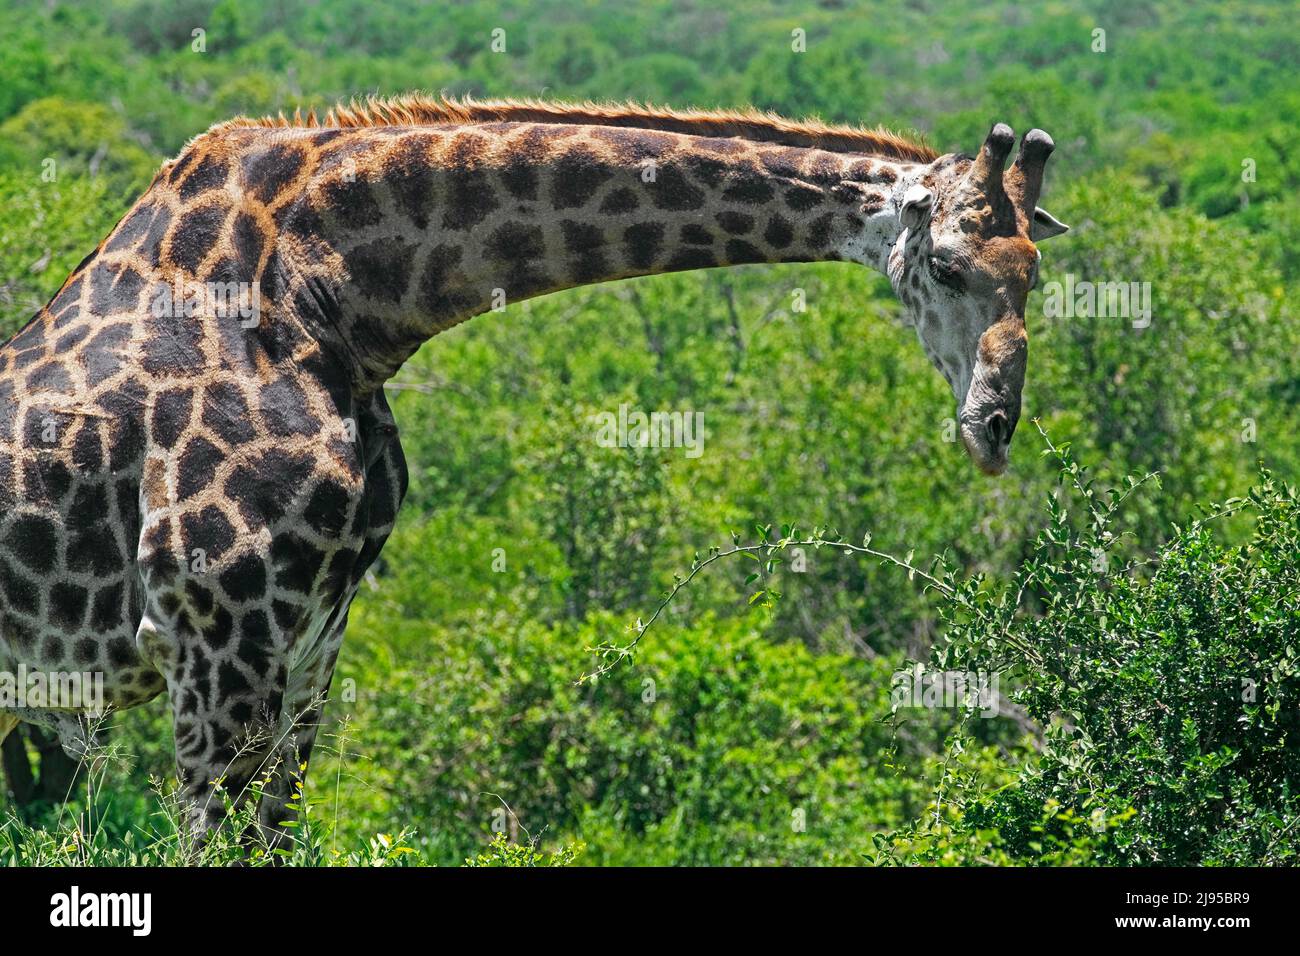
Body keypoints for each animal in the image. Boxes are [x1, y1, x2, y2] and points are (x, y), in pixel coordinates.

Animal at [0, 96, 1067, 843]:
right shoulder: (216, 640)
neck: (336, 299)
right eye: (946, 266)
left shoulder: (308, 644)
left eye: (1033, 277)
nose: (992, 427)